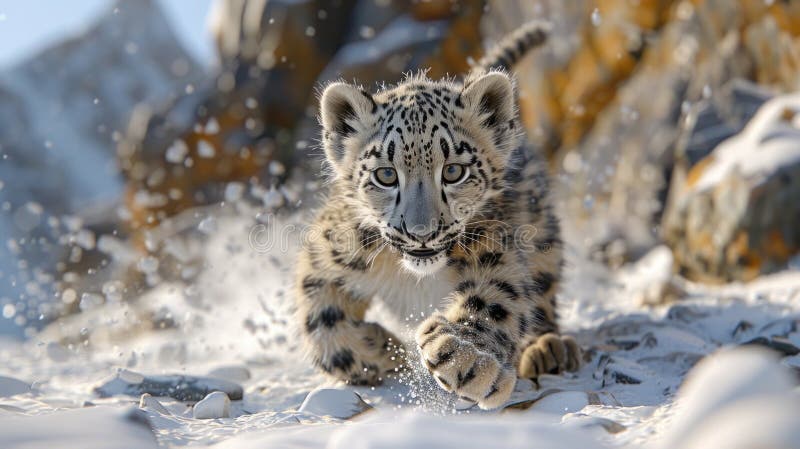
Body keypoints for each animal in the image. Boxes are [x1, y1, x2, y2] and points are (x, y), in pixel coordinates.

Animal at [294, 20, 581, 410]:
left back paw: (547, 347)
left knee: (544, 289)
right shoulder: (325, 255)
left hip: (541, 233)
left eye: (454, 171)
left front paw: (464, 356)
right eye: (386, 174)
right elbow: (321, 325)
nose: (421, 232)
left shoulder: (495, 251)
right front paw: (385, 350)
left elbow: (494, 298)